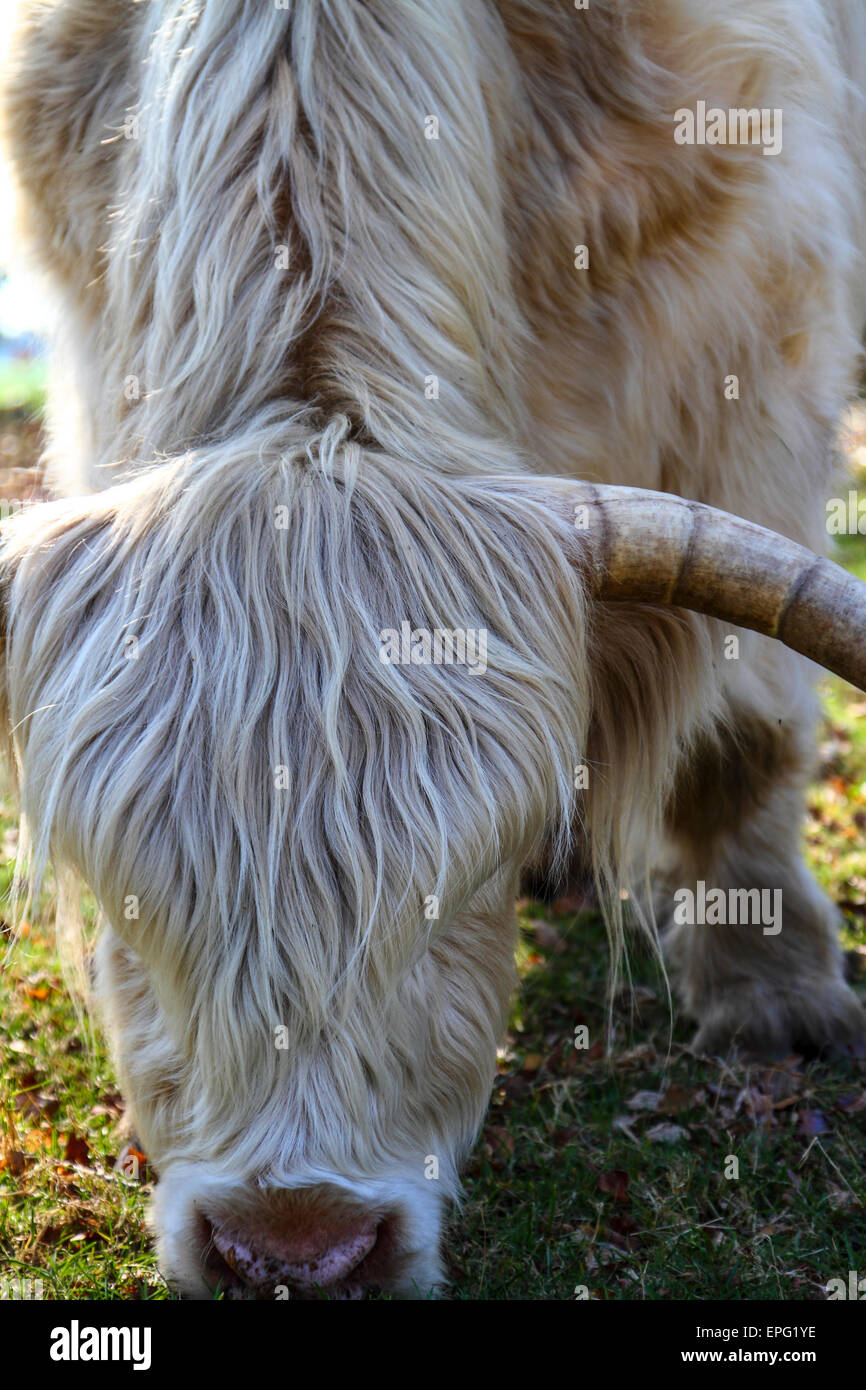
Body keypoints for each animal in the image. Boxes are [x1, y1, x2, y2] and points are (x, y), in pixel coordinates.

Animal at [3, 0, 866, 1298]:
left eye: (458, 893)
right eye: (130, 907)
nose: (294, 1247)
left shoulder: (761, 331)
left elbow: (737, 730)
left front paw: (772, 990)